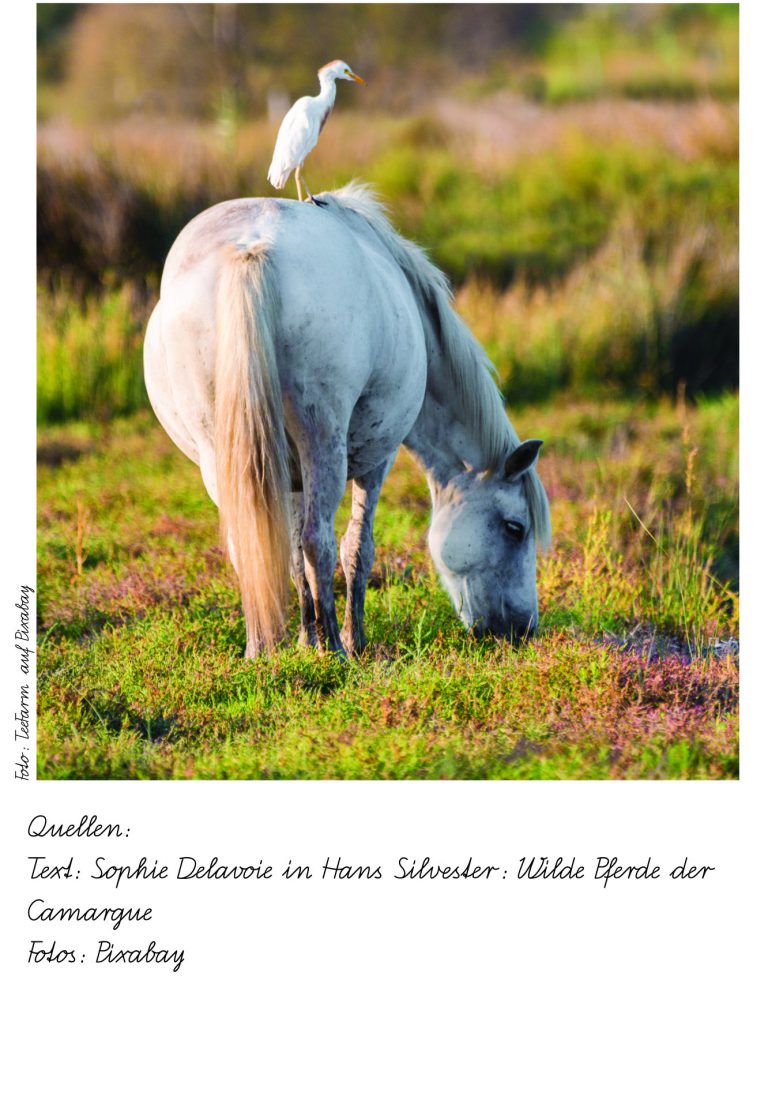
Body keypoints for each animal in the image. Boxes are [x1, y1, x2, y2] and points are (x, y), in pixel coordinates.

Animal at [143, 182, 550, 658]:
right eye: (514, 528)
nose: (522, 629)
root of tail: (251, 249)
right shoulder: (378, 460)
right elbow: (356, 548)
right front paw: (352, 641)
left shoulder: (288, 476)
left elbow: (291, 555)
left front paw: (305, 638)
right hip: (324, 442)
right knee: (319, 540)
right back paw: (335, 647)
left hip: (220, 458)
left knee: (258, 544)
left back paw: (263, 649)